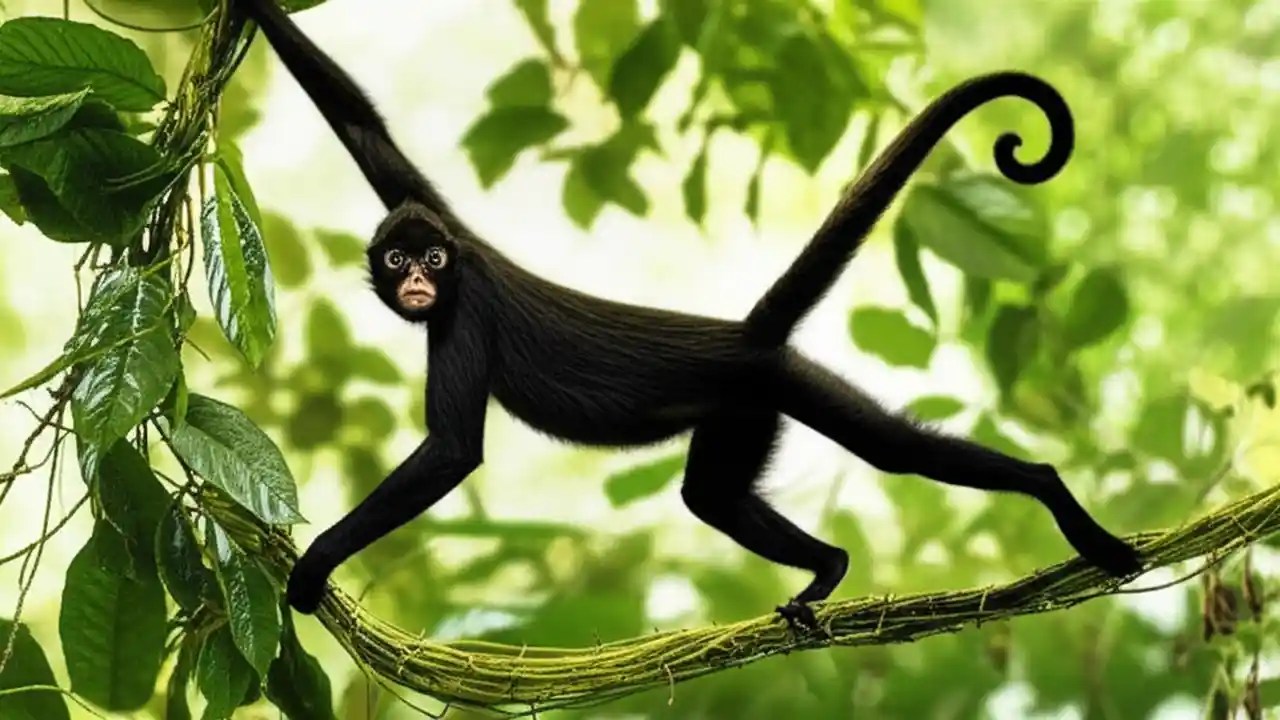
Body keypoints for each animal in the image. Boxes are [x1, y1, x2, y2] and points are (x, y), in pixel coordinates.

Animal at [235, 0, 1143, 625]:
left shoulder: (465, 312)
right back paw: (829, 568)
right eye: (397, 260)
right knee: (710, 495)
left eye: (428, 264)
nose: (417, 282)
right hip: (747, 409)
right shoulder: (433, 215)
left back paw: (1059, 502)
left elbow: (454, 449)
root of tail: (744, 335)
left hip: (779, 382)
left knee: (895, 450)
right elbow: (363, 126)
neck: (461, 276)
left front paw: (315, 564)